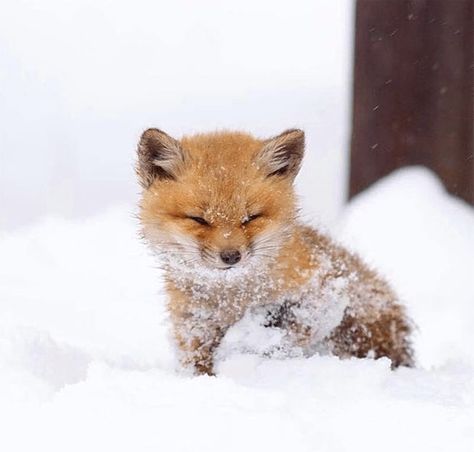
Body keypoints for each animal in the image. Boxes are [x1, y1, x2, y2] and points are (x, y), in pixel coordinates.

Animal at [135, 128, 412, 374]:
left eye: (251, 218)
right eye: (198, 219)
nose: (231, 256)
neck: (233, 300)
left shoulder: (326, 292)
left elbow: (290, 330)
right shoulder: (194, 328)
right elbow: (199, 365)